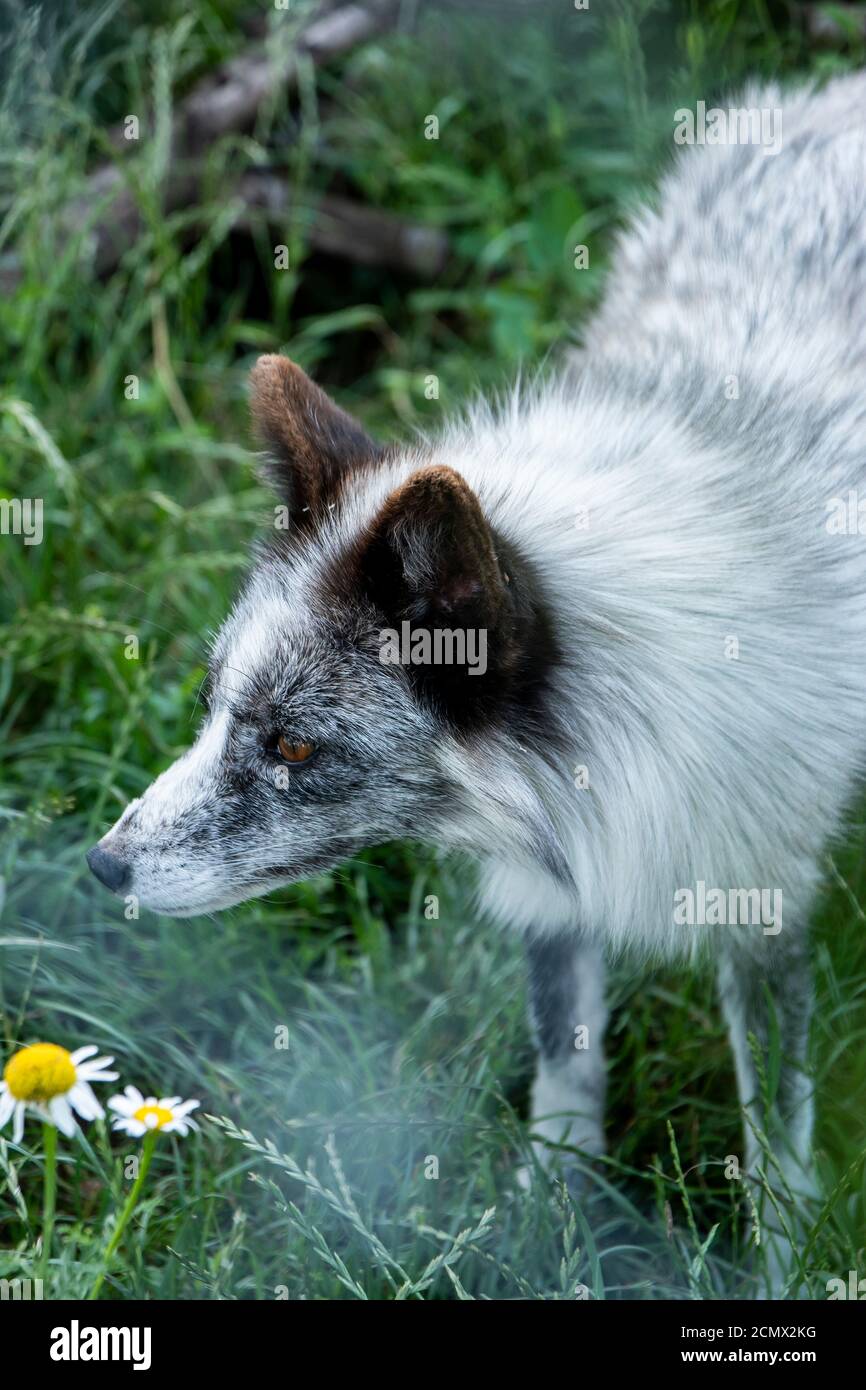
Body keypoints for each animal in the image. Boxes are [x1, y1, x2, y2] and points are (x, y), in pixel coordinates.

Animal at [88, 74, 866, 1281]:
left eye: (294, 744)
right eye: (213, 707)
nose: (101, 867)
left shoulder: (764, 909)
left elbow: (775, 1146)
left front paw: (783, 1268)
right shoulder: (555, 886)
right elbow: (564, 1066)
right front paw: (552, 1222)